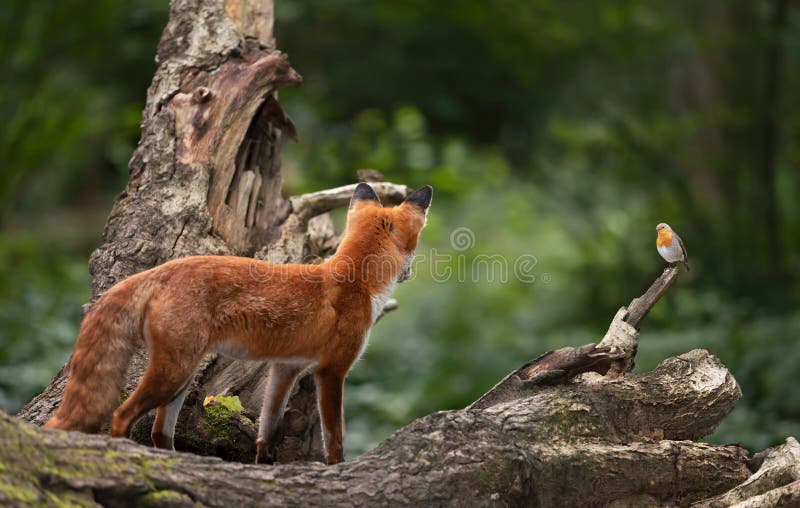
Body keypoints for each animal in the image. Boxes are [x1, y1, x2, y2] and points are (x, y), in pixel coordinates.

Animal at [44, 182, 432, 465]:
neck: (356, 282)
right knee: (122, 416)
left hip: (181, 377)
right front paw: (336, 469)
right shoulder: (332, 371)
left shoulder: (285, 368)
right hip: (173, 371)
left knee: (159, 432)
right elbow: (334, 438)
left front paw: (265, 465)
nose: (411, 273)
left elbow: (267, 429)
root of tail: (165, 269)